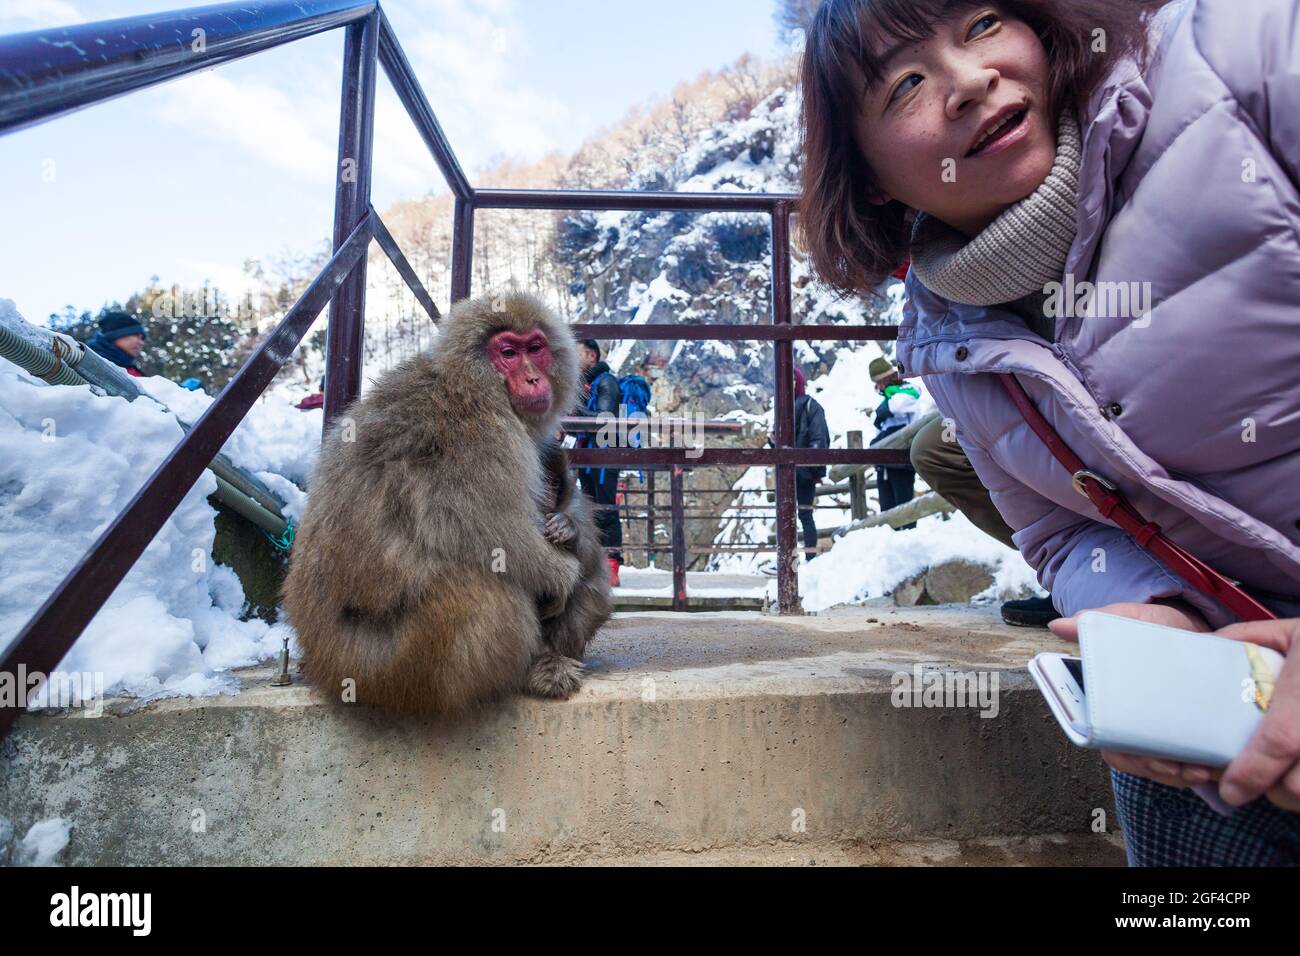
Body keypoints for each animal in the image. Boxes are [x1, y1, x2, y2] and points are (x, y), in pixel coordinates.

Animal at [281, 292, 611, 715]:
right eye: (508, 352)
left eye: (535, 348)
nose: (533, 378)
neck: (473, 385)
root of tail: (319, 660)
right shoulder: (483, 434)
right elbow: (481, 528)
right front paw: (559, 575)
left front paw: (568, 531)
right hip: (390, 663)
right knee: (483, 590)